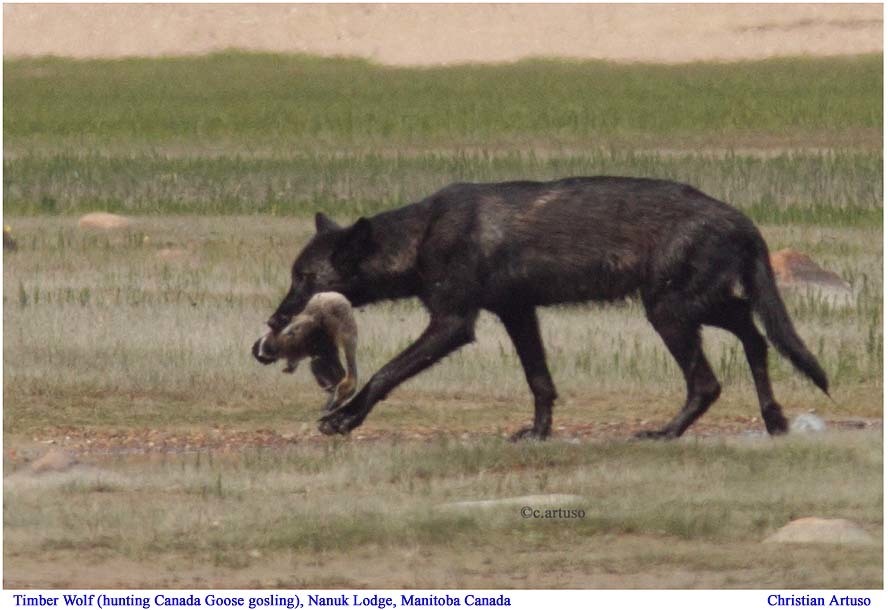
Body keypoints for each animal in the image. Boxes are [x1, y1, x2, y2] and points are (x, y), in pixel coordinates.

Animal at [257, 176, 828, 440]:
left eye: (304, 279)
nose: (273, 326)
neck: (419, 237)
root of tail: (742, 219)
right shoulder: (517, 313)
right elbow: (540, 381)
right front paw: (538, 433)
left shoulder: (451, 325)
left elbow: (384, 374)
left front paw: (344, 419)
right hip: (695, 306)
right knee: (756, 336)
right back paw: (774, 420)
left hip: (670, 311)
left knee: (709, 380)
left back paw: (666, 433)